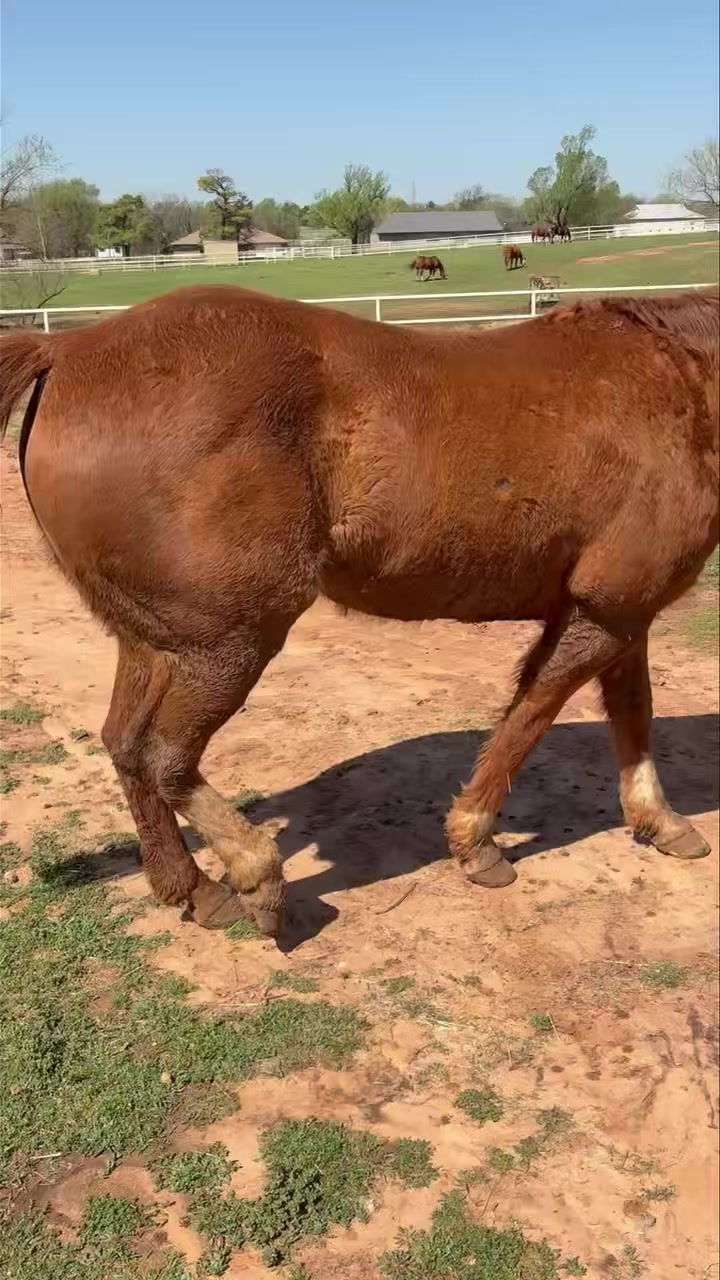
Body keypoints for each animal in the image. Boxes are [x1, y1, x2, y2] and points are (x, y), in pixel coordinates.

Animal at [1, 286, 717, 941]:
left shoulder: (626, 612)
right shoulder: (605, 610)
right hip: (230, 639)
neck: (676, 380)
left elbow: (633, 713)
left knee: (126, 747)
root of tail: (66, 351)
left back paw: (194, 889)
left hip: (155, 643)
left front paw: (660, 820)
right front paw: (476, 841)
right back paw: (256, 875)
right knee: (164, 757)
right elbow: (531, 717)